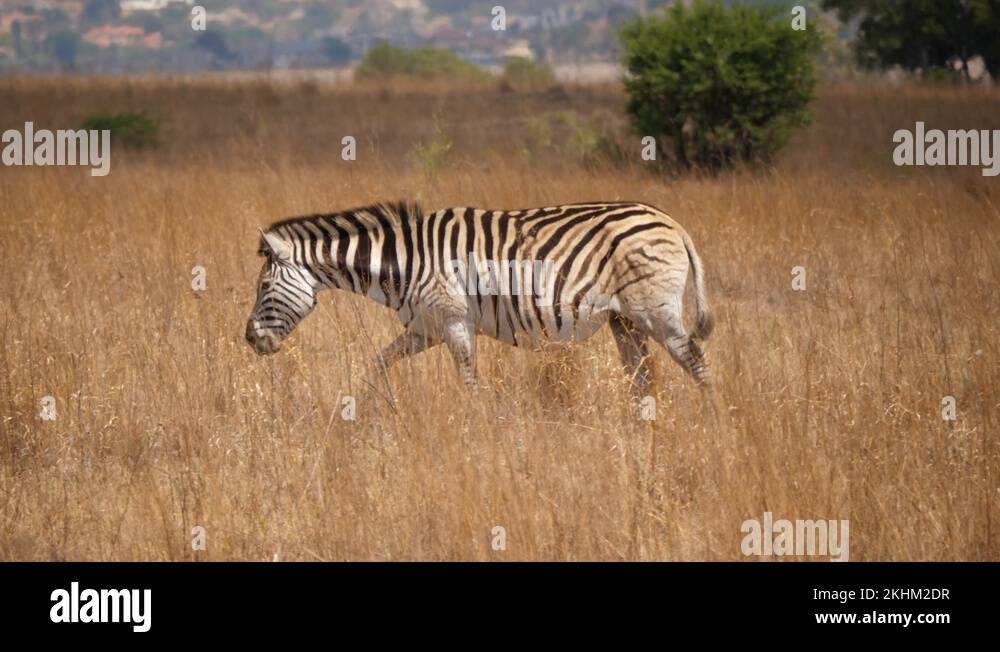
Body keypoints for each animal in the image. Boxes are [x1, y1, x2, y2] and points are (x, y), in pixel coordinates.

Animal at [244, 201, 714, 394]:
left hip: (654, 311)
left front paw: (477, 440)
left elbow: (470, 383)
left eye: (263, 287)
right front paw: (372, 410)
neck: (404, 262)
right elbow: (376, 364)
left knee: (695, 360)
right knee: (642, 376)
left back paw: (712, 425)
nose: (250, 339)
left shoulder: (455, 322)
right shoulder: (425, 329)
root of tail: (671, 221)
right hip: (625, 320)